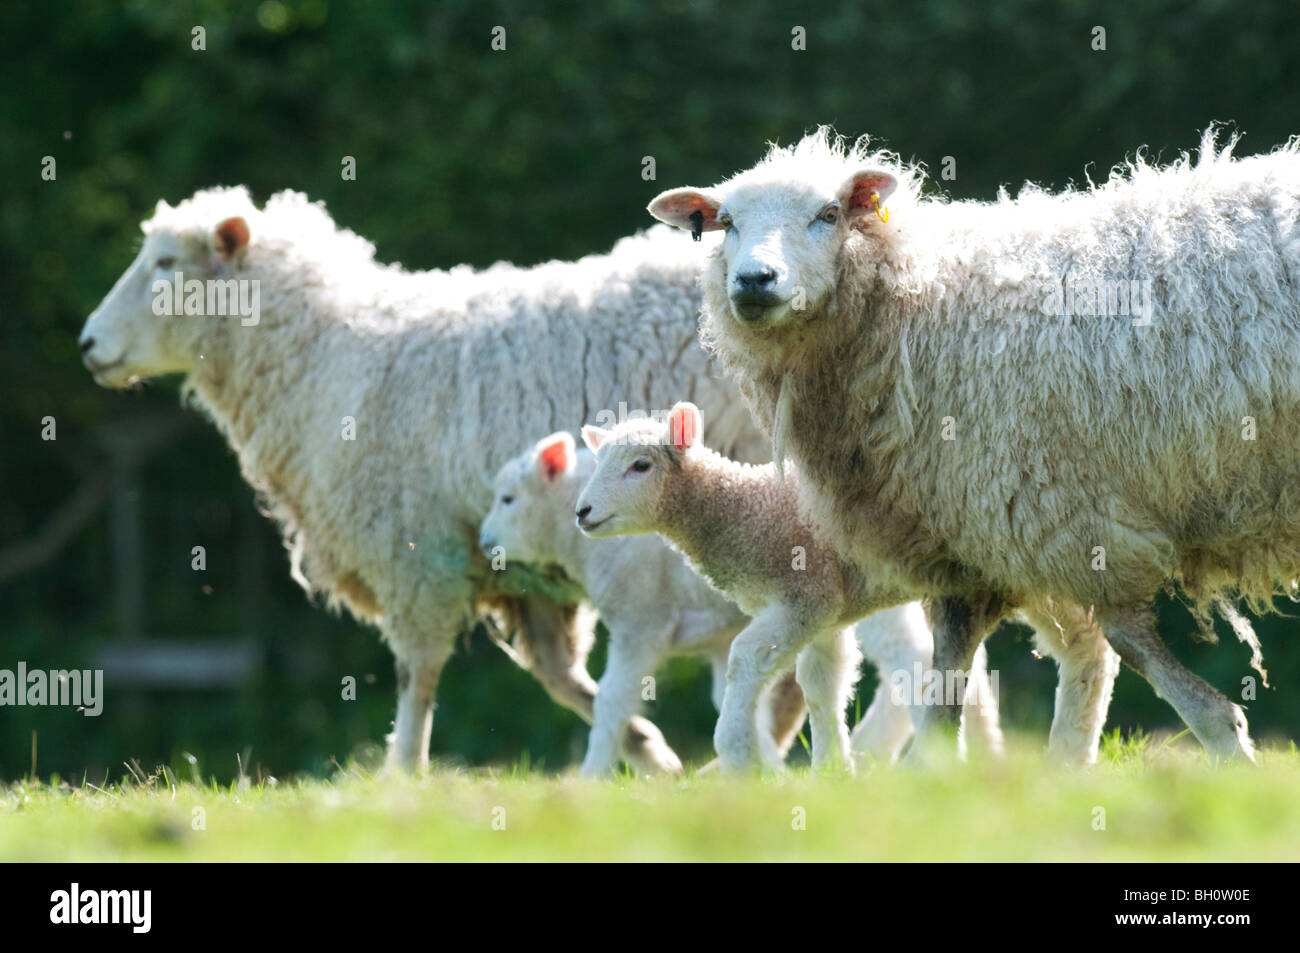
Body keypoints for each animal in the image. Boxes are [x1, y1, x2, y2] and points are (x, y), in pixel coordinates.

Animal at [78, 186, 772, 772]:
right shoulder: (521, 563)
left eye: (166, 263)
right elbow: (561, 677)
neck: (327, 359)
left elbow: (418, 675)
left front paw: (404, 773)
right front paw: (651, 752)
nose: (88, 344)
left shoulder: (415, 551)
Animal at [478, 430, 810, 775]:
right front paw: (771, 770)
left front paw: (591, 774)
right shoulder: (719, 637)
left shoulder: (640, 624)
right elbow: (739, 704)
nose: (484, 540)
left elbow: (611, 702)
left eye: (508, 499)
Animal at [574, 401, 1003, 771]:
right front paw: (831, 770)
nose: (582, 512)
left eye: (641, 464)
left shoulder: (805, 597)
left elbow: (744, 659)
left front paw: (739, 756)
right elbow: (821, 684)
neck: (745, 509)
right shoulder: (828, 613)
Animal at [648, 126, 1299, 760]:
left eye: (828, 214)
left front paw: (1228, 736)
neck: (918, 306)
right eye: (726, 222)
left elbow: (1127, 640)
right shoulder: (964, 544)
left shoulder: (1067, 513)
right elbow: (946, 681)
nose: (754, 281)